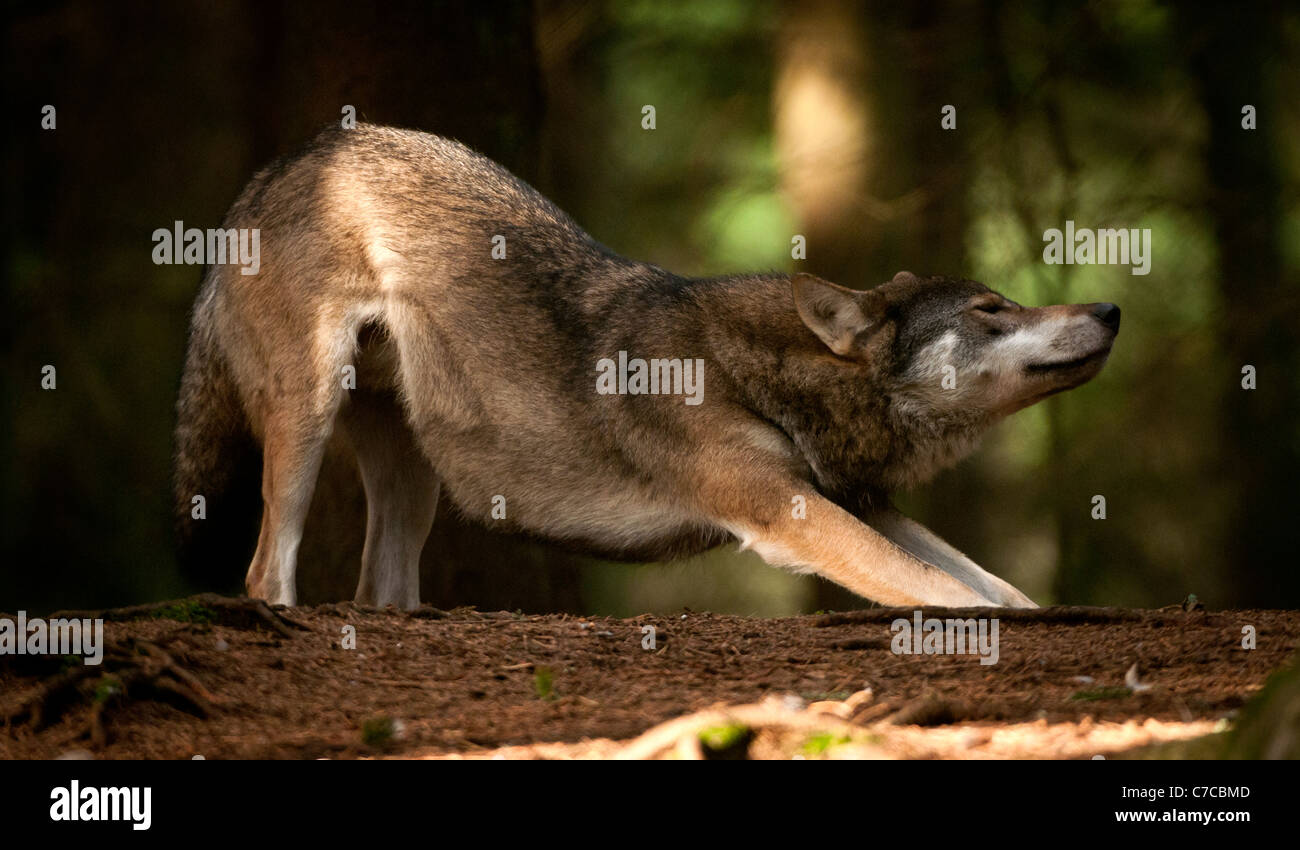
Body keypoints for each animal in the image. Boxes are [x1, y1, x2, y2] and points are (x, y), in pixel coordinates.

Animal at [175, 124, 1120, 610]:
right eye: (992, 311)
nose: (1112, 310)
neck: (756, 372)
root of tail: (268, 176)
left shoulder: (855, 501)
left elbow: (991, 583)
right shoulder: (786, 511)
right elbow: (939, 588)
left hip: (416, 473)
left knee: (380, 590)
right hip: (307, 420)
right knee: (264, 574)